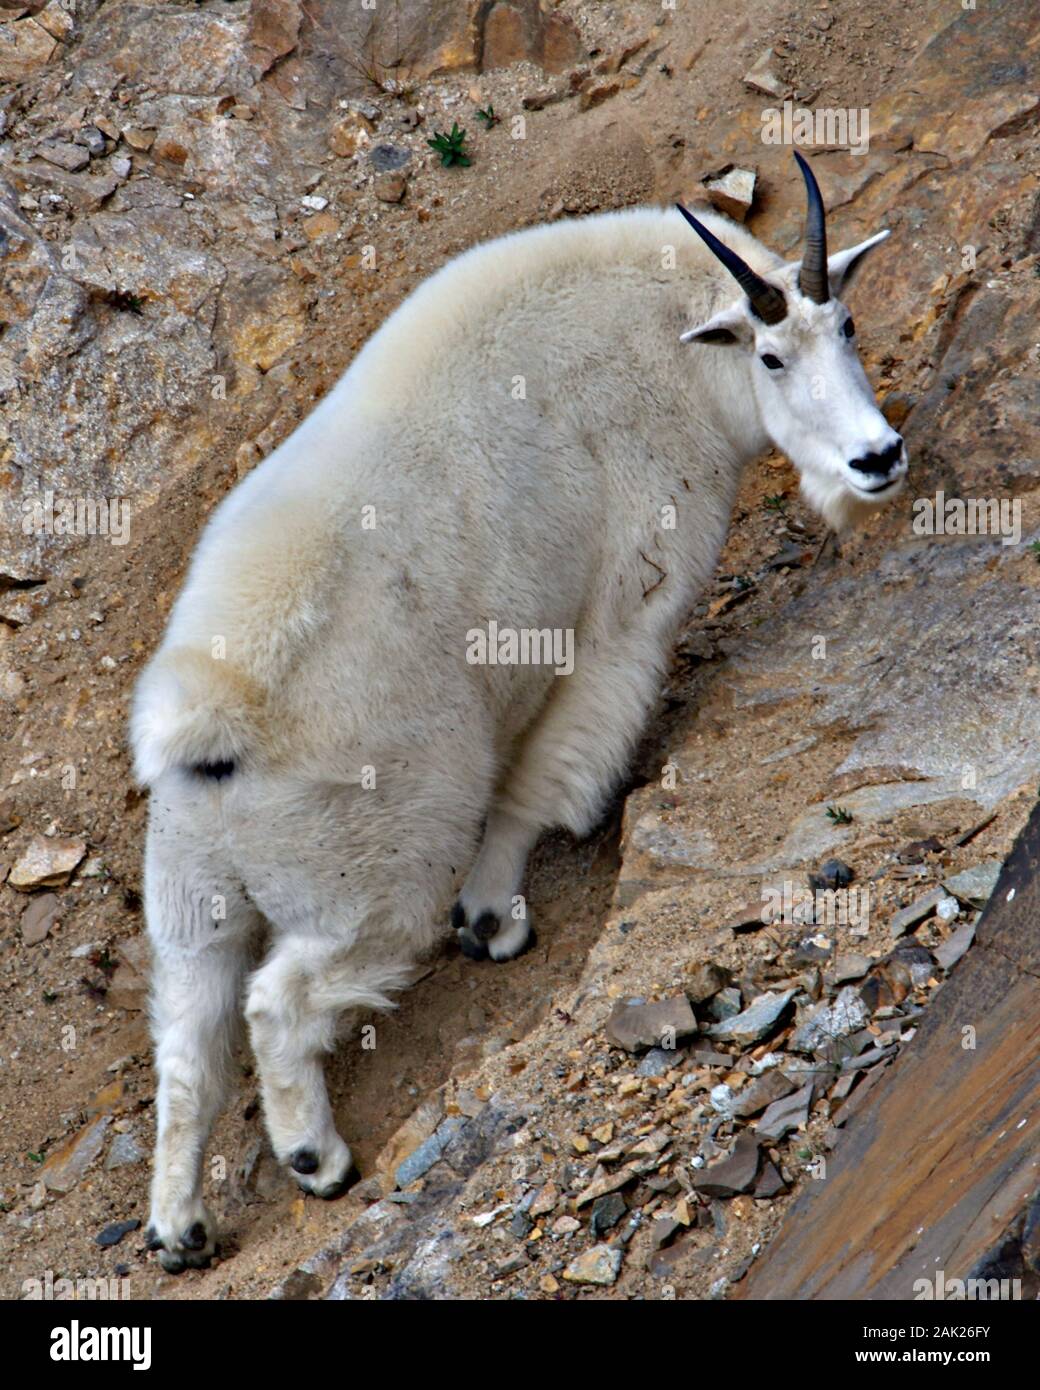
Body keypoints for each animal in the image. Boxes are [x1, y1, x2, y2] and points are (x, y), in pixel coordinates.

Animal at [131, 153, 906, 1270]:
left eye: (845, 325)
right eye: (770, 353)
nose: (876, 458)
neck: (666, 345)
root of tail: (208, 725)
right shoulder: (625, 604)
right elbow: (545, 774)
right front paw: (493, 921)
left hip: (191, 890)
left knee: (188, 1041)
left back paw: (179, 1227)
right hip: (378, 858)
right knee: (284, 1000)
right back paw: (318, 1159)